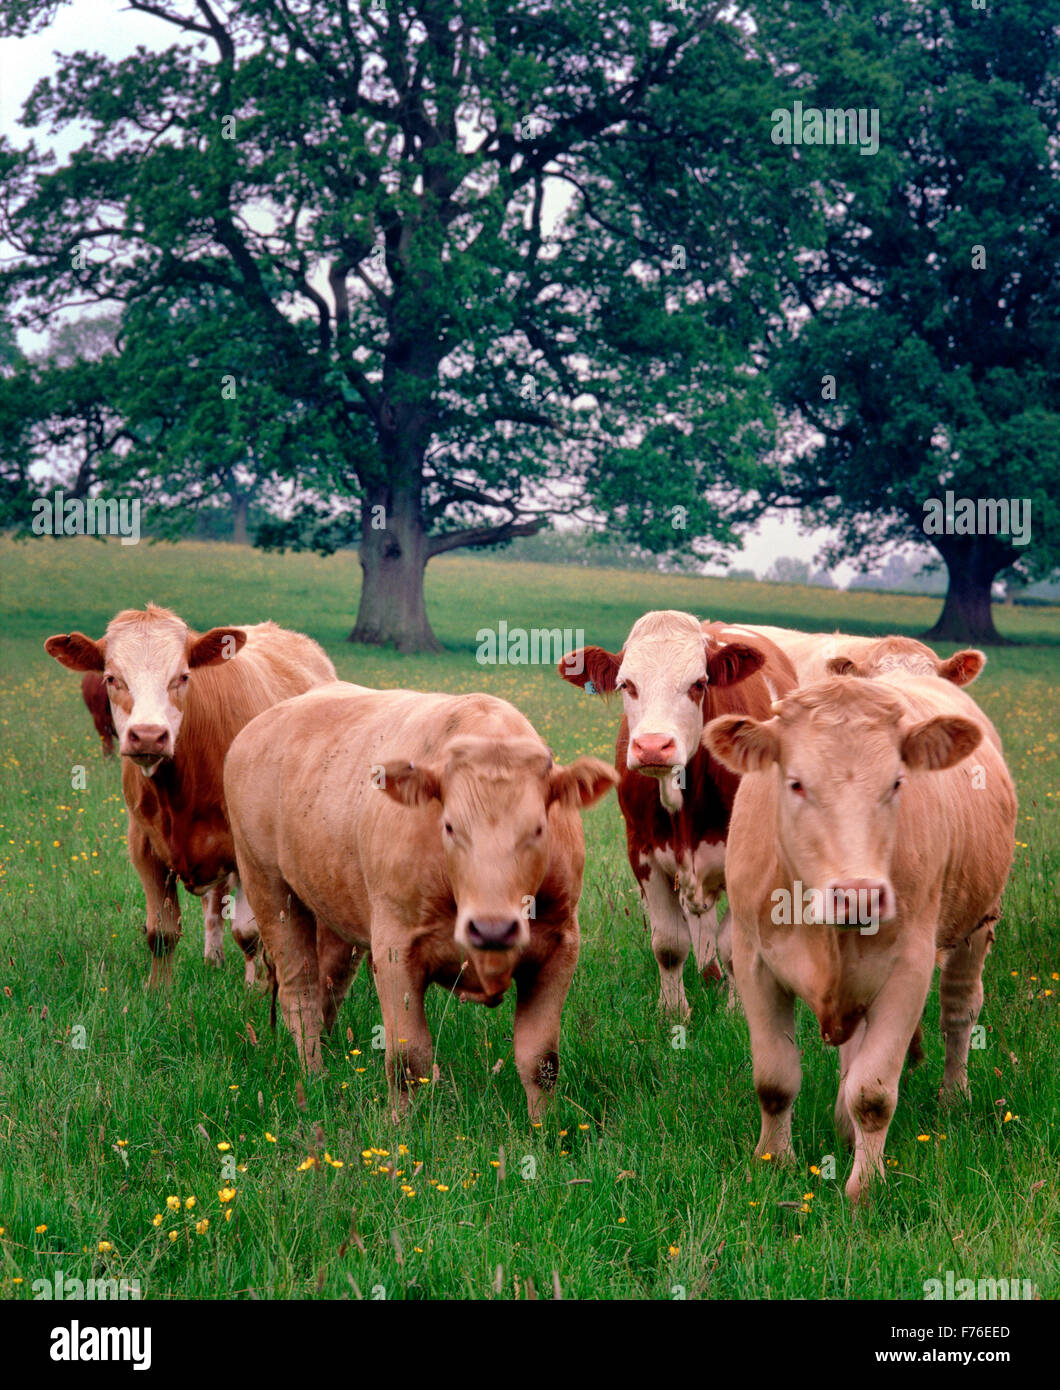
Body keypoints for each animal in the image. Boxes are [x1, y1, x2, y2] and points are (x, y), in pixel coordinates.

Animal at [45, 604, 336, 986]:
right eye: (111, 678)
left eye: (182, 677)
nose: (148, 735)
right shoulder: (145, 847)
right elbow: (162, 933)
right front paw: (158, 992)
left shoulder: (246, 851)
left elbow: (249, 932)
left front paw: (254, 988)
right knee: (213, 904)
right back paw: (213, 957)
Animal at [224, 684, 618, 1120]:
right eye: (450, 826)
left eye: (538, 828)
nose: (493, 928)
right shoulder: (396, 951)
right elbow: (407, 1061)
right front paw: (399, 1128)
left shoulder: (560, 948)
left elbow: (541, 1061)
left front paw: (544, 1128)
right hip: (269, 888)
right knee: (301, 994)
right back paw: (315, 1077)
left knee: (330, 984)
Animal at [558, 611, 797, 1016]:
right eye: (626, 685)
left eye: (699, 684)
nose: (653, 746)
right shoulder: (641, 851)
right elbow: (669, 943)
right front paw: (673, 1011)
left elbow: (733, 943)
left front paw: (737, 1011)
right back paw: (708, 975)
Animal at [704, 673, 1017, 1202]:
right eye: (796, 783)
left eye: (896, 783)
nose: (859, 896)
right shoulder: (754, 962)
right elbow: (774, 1080)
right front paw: (772, 1163)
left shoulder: (909, 969)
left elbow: (873, 1093)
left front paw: (865, 1188)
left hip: (977, 924)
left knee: (959, 1011)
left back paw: (954, 1094)